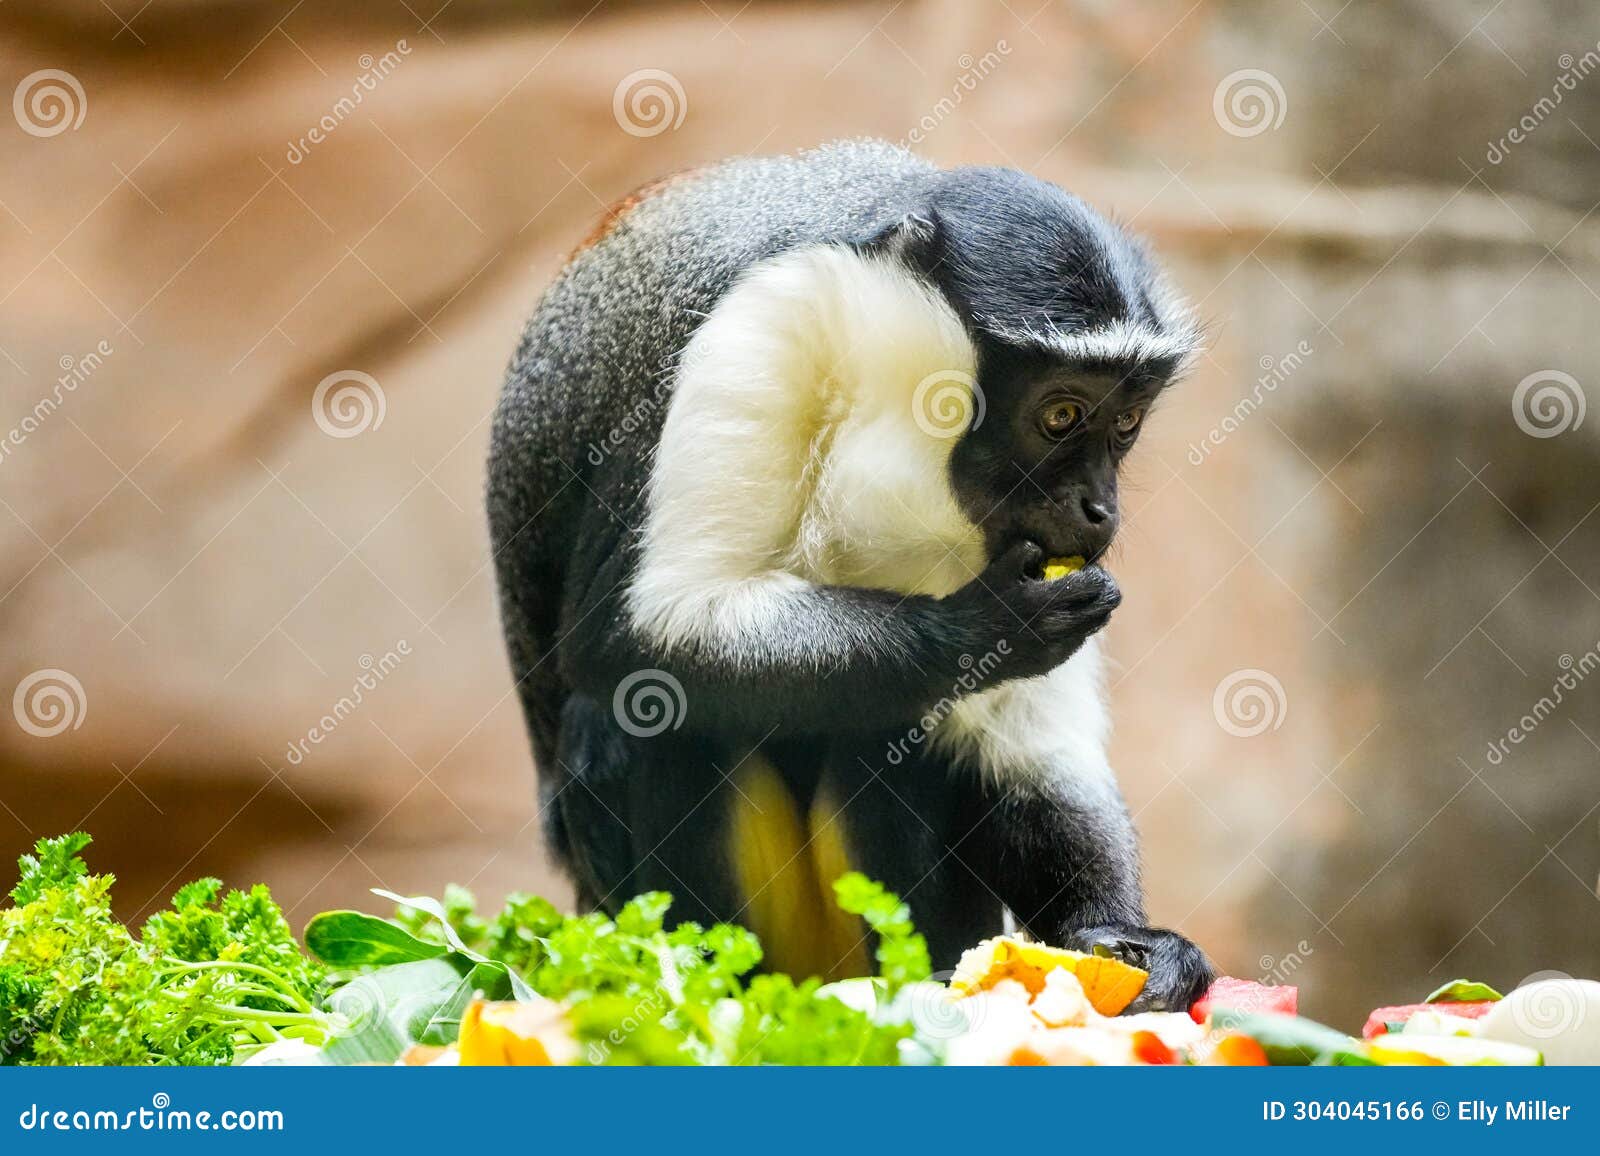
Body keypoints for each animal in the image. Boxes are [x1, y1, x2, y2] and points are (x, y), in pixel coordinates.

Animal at [487, 140, 1213, 1012]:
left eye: (1126, 423)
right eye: (1061, 415)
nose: (1098, 509)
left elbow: (1031, 756)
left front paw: (1134, 946)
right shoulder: (759, 322)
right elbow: (633, 634)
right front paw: (989, 630)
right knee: (656, 710)